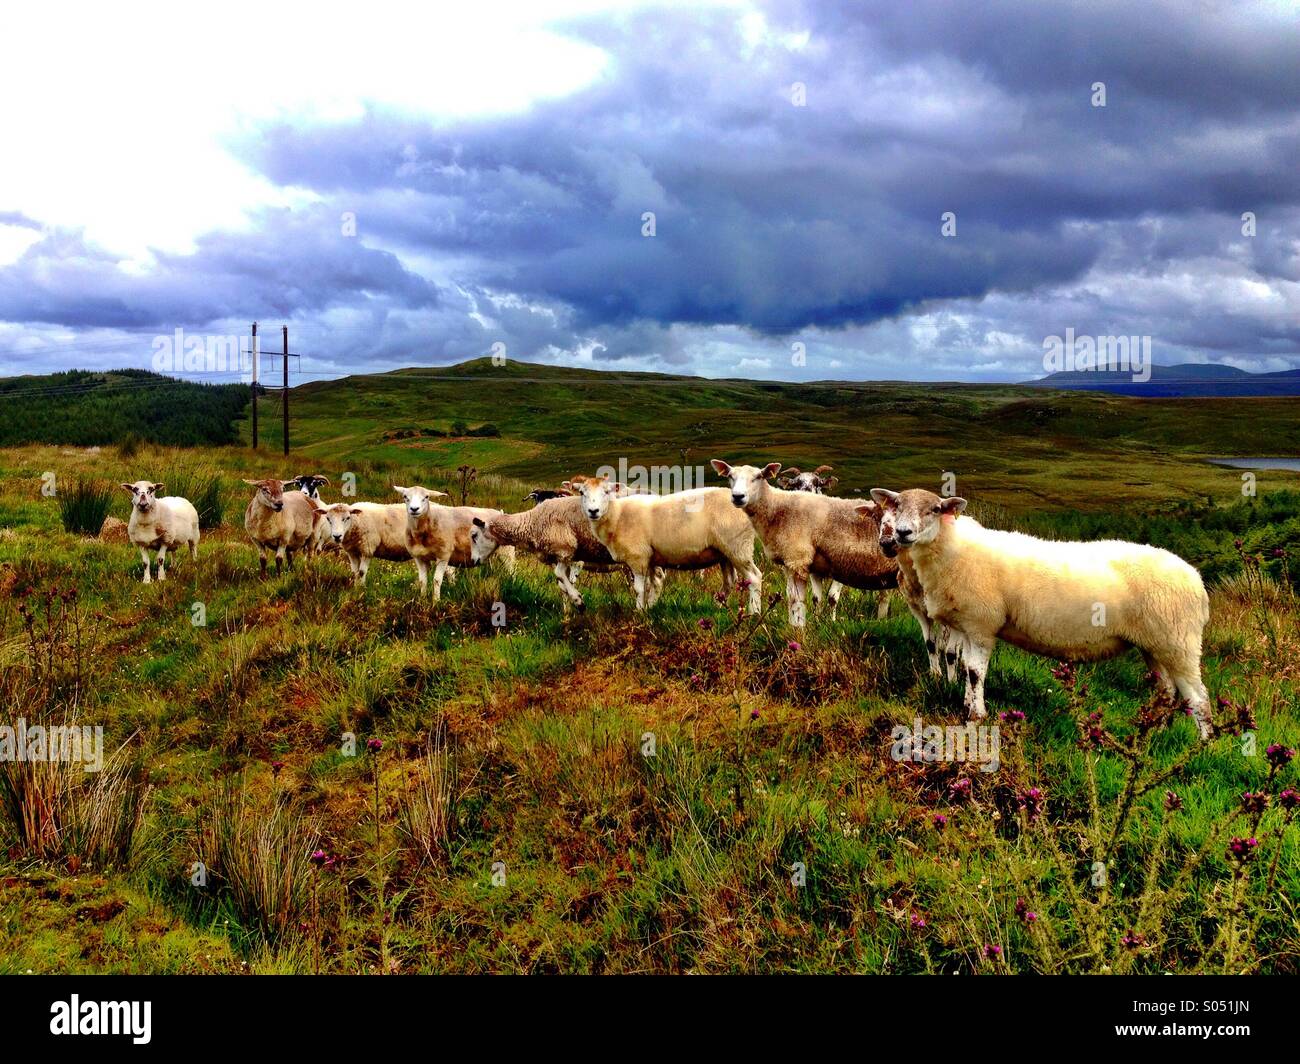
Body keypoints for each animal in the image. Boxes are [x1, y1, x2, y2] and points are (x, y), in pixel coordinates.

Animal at [568, 475, 762, 612]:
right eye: (582, 493)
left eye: (607, 492)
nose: (593, 511)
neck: (617, 515)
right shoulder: (650, 559)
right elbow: (653, 585)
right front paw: (649, 608)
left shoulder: (638, 557)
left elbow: (639, 588)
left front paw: (639, 612)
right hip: (724, 553)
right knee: (729, 581)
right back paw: (718, 606)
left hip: (738, 546)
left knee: (754, 578)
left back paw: (754, 612)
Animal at [869, 488, 1213, 739]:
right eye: (897, 505)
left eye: (935, 509)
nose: (902, 533)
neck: (953, 549)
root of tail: (1196, 580)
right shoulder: (967, 625)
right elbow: (966, 669)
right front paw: (967, 704)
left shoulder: (982, 624)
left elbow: (976, 672)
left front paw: (977, 717)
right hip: (1155, 644)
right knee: (1166, 691)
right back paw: (1156, 734)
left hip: (1179, 641)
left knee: (1198, 698)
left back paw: (1203, 745)